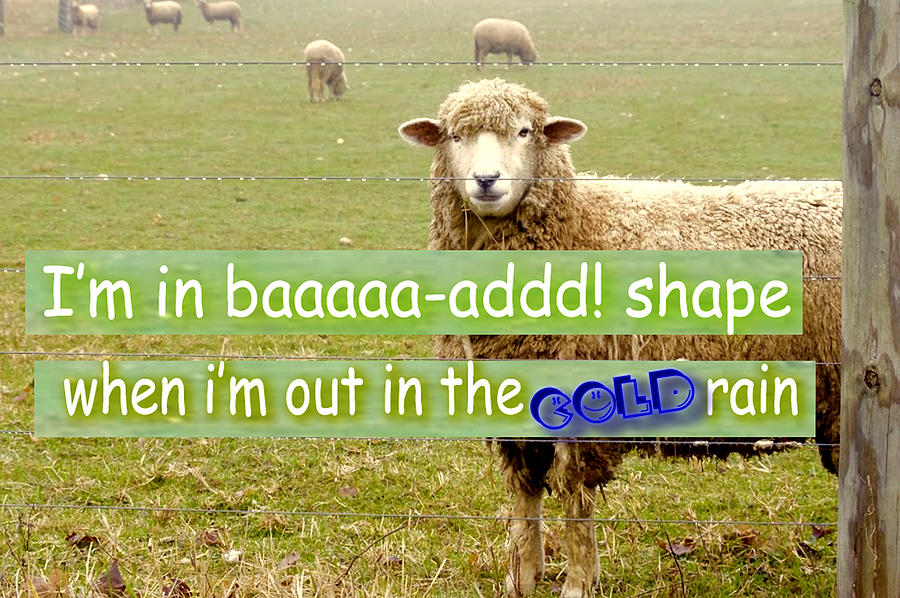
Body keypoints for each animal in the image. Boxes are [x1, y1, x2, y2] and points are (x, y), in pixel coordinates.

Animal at [398, 78, 841, 598]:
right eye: (455, 136)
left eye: (526, 131)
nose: (487, 180)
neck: (579, 224)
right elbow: (524, 494)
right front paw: (522, 578)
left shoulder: (585, 405)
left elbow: (575, 498)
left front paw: (577, 582)